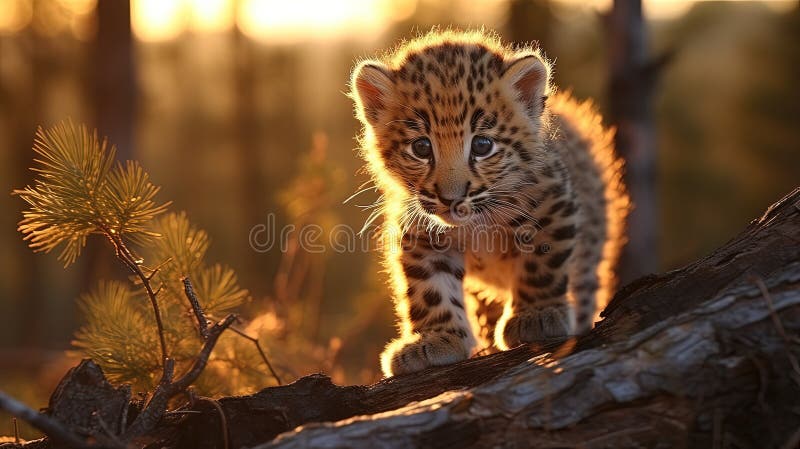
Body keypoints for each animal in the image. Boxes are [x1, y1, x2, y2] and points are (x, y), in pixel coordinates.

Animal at [349, 29, 629, 377]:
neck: (477, 223)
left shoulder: (553, 206)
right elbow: (431, 287)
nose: (451, 198)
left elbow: (542, 263)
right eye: (421, 147)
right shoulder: (419, 231)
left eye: (482, 145)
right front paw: (435, 339)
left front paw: (536, 316)